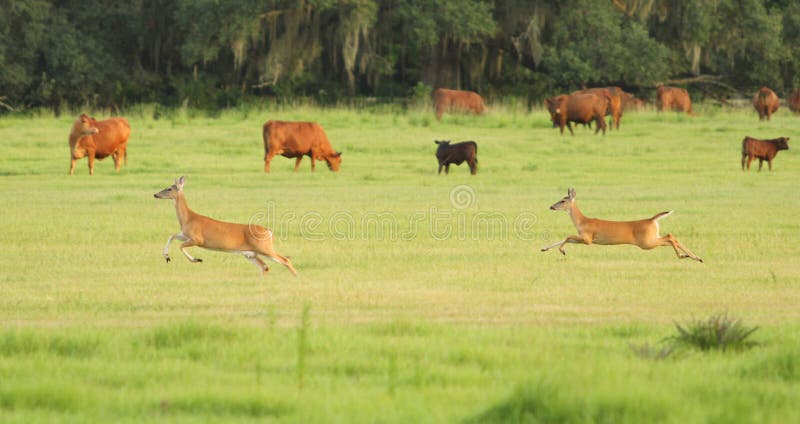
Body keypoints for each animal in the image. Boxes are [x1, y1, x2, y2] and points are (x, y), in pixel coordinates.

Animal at [154, 176, 298, 275]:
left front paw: (196, 259)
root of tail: (269, 231)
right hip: (251, 253)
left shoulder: (197, 239)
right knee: (265, 267)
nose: (155, 194)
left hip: (264, 247)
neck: (188, 218)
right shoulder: (185, 235)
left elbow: (180, 246)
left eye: (169, 188)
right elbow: (171, 236)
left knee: (285, 260)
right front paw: (167, 257)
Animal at [540, 188, 703, 262]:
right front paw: (544, 248)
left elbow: (567, 236)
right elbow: (565, 238)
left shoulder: (588, 239)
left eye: (562, 200)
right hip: (652, 238)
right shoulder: (584, 238)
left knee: (670, 236)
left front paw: (562, 251)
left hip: (646, 242)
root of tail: (652, 220)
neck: (583, 222)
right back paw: (695, 257)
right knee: (670, 238)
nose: (551, 206)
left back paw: (685, 256)